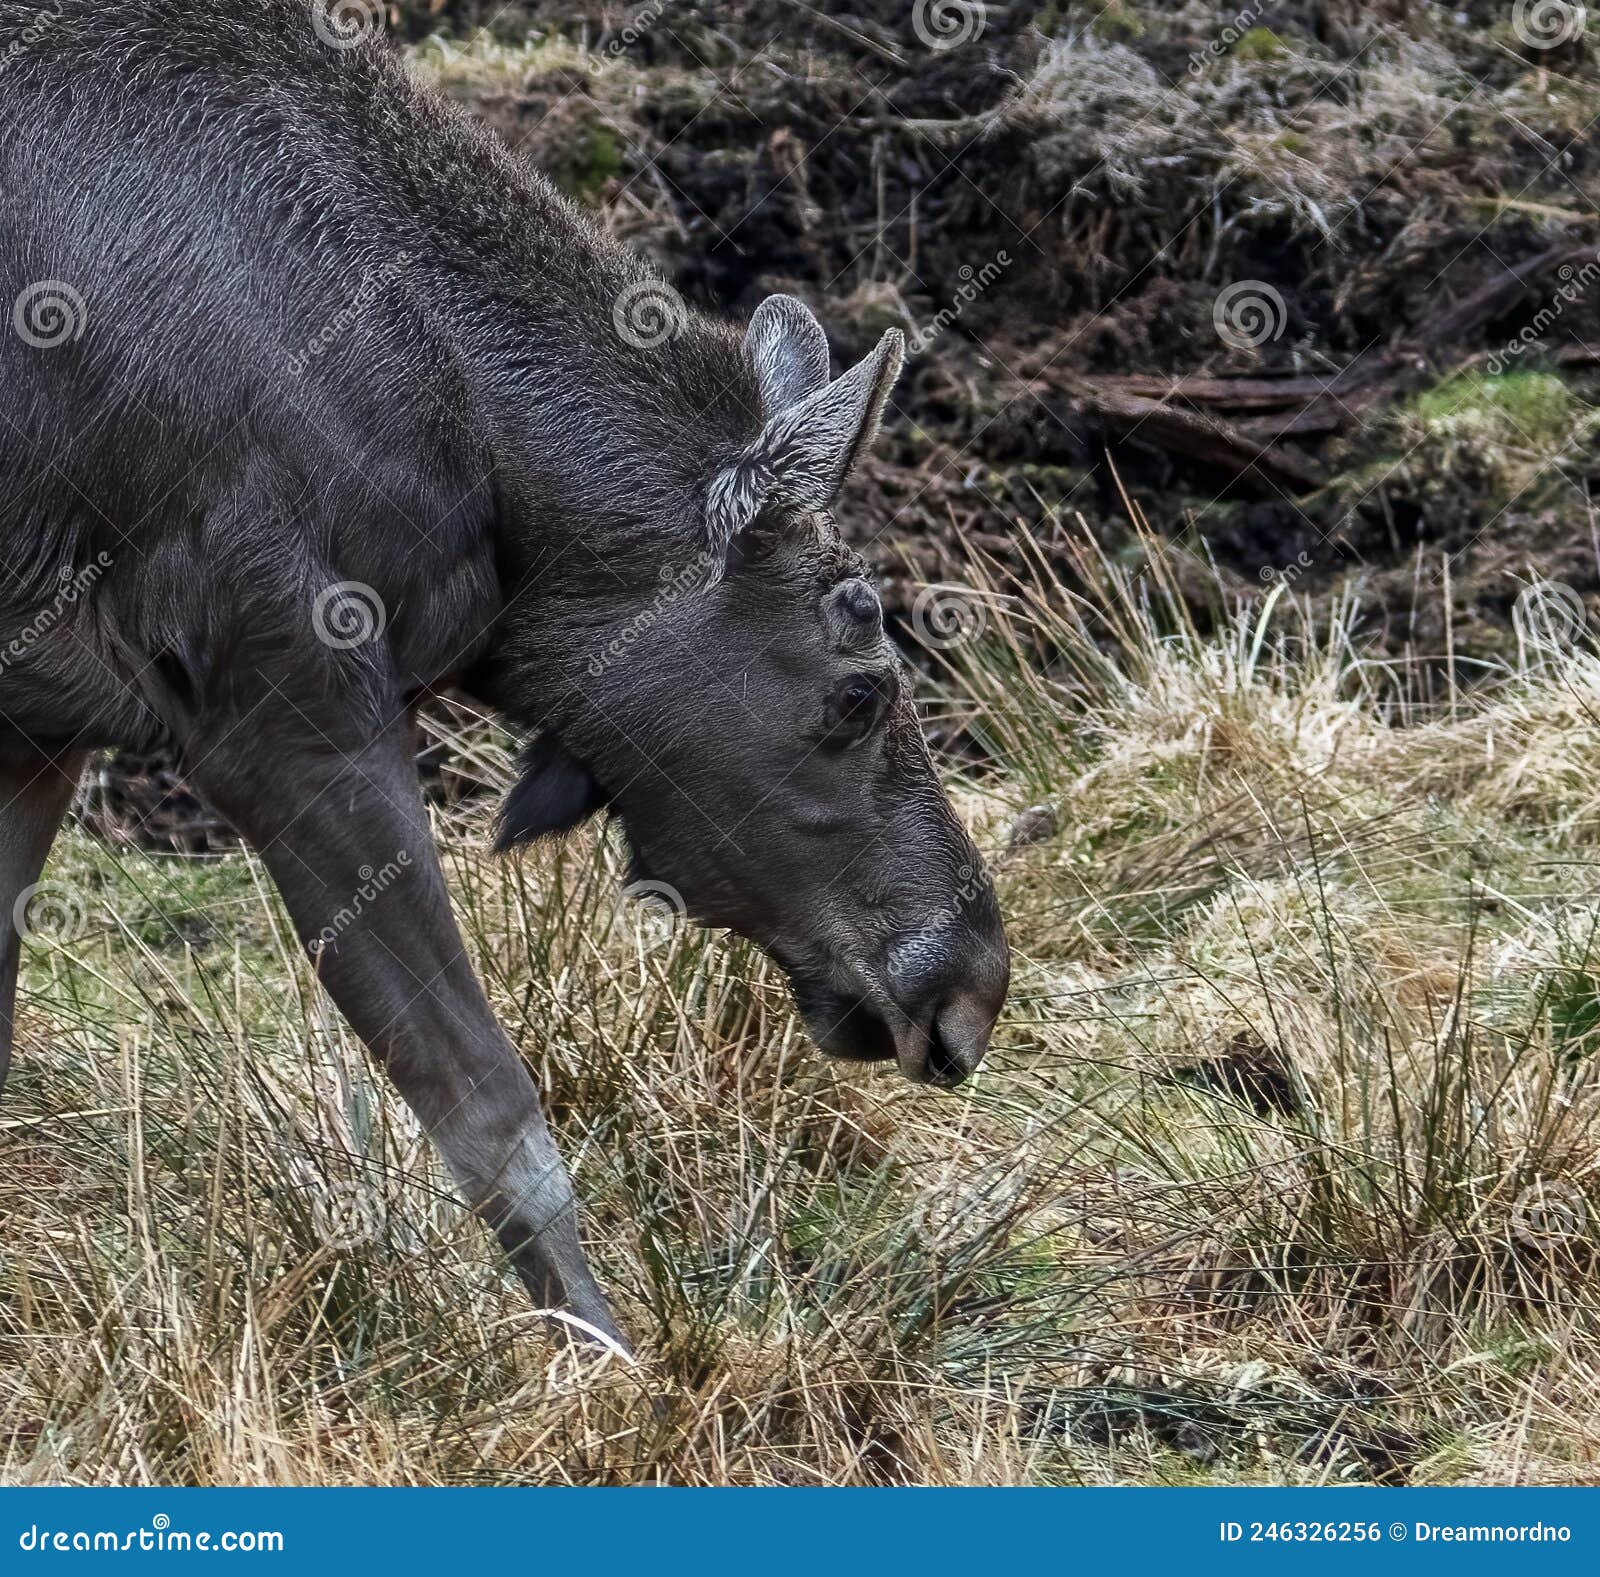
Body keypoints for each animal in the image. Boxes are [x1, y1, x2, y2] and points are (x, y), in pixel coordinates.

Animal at [0, 0, 1010, 1348]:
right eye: (860, 689)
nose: (970, 980)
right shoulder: (279, 708)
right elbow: (490, 1107)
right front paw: (608, 1361)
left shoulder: (37, 729)